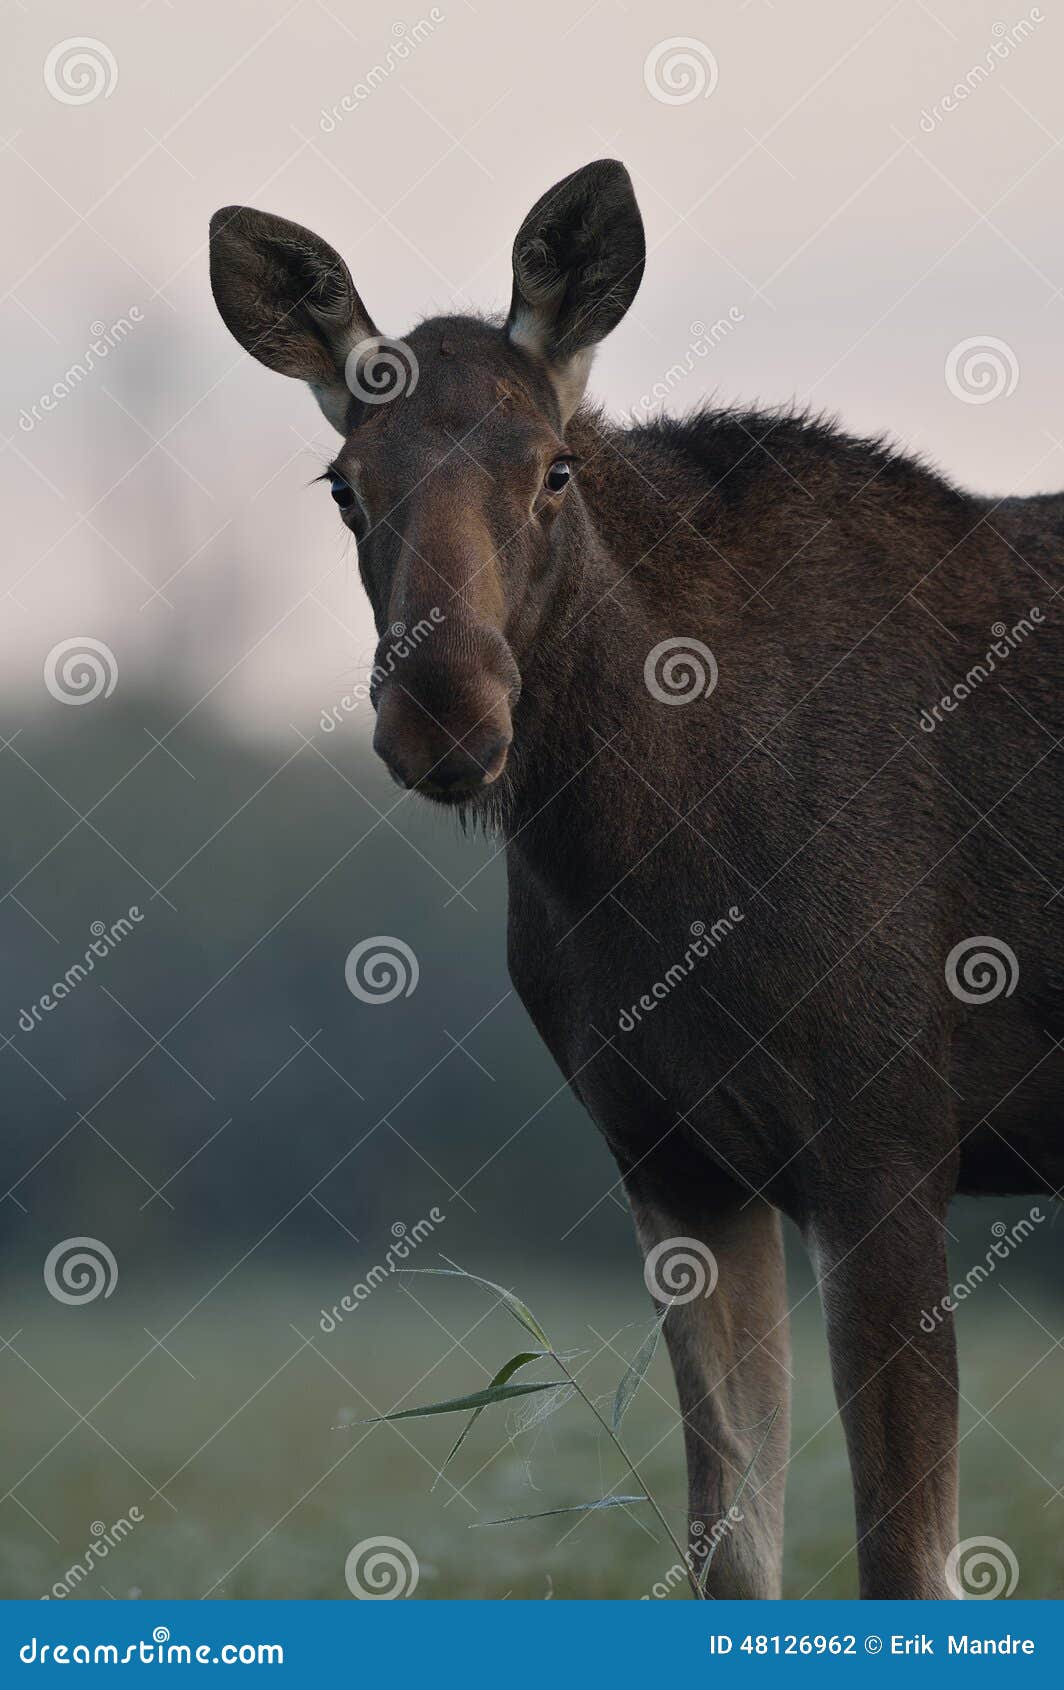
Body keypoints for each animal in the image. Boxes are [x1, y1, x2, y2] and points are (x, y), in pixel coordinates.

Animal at [209, 159, 1063, 1599]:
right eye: (342, 484)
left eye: (553, 468)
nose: (444, 708)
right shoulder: (676, 1160)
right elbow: (731, 1549)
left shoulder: (888, 1142)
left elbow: (904, 1562)